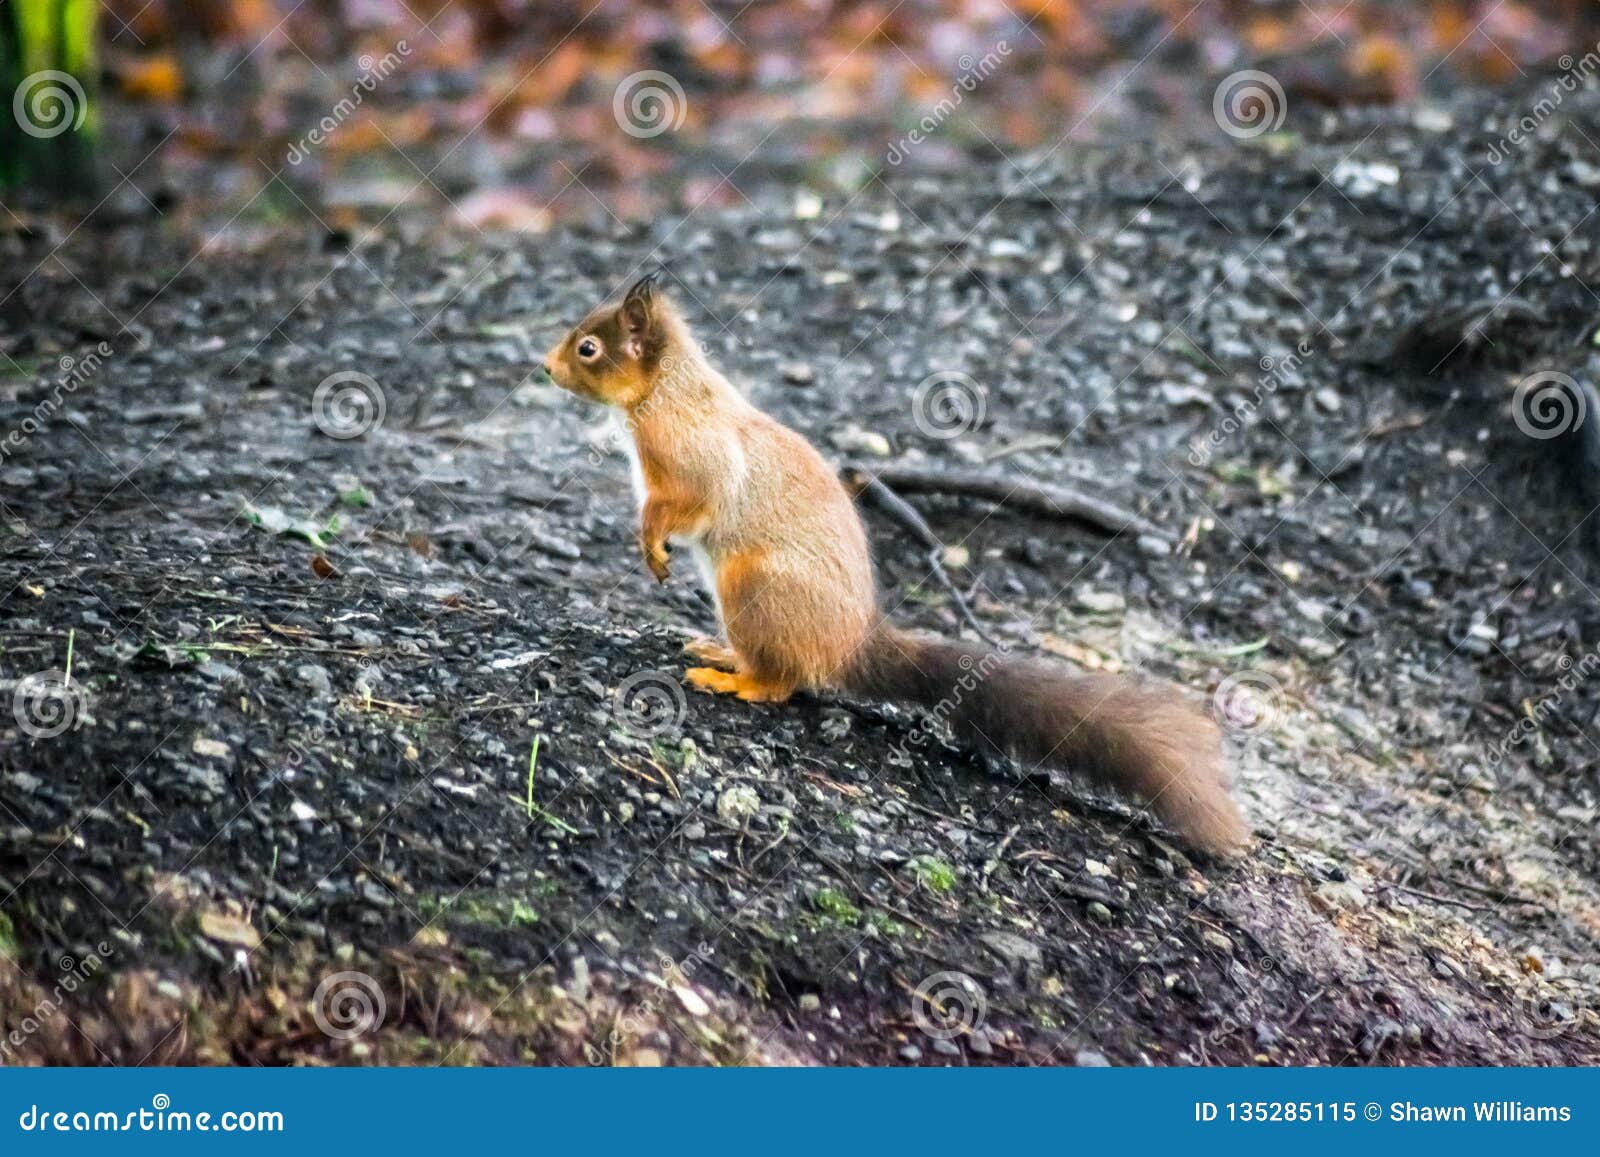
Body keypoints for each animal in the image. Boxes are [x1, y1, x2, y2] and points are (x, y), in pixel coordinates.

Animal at [542, 276, 1250, 856]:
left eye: (590, 348)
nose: (545, 366)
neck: (666, 390)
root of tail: (853, 643)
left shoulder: (692, 457)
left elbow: (688, 502)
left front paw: (651, 542)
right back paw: (722, 654)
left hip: (755, 586)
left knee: (785, 681)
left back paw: (737, 681)